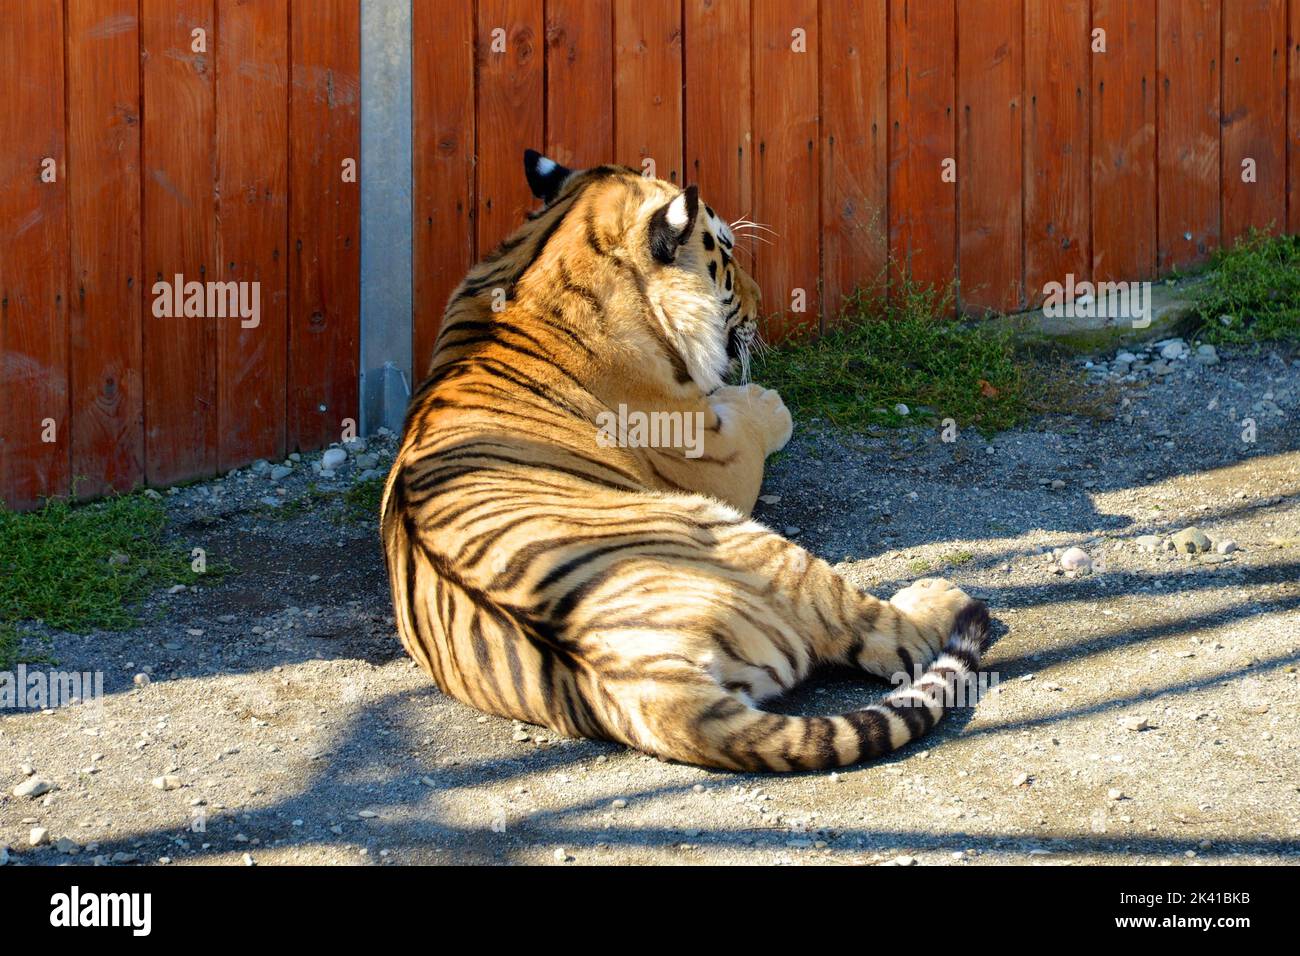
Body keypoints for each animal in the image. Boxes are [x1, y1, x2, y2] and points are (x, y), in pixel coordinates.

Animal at [379, 150, 993, 772]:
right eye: (727, 255)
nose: (763, 299)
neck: (535, 267)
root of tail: (657, 685)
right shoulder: (720, 463)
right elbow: (757, 420)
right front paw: (768, 401)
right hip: (746, 538)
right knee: (891, 639)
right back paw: (940, 597)